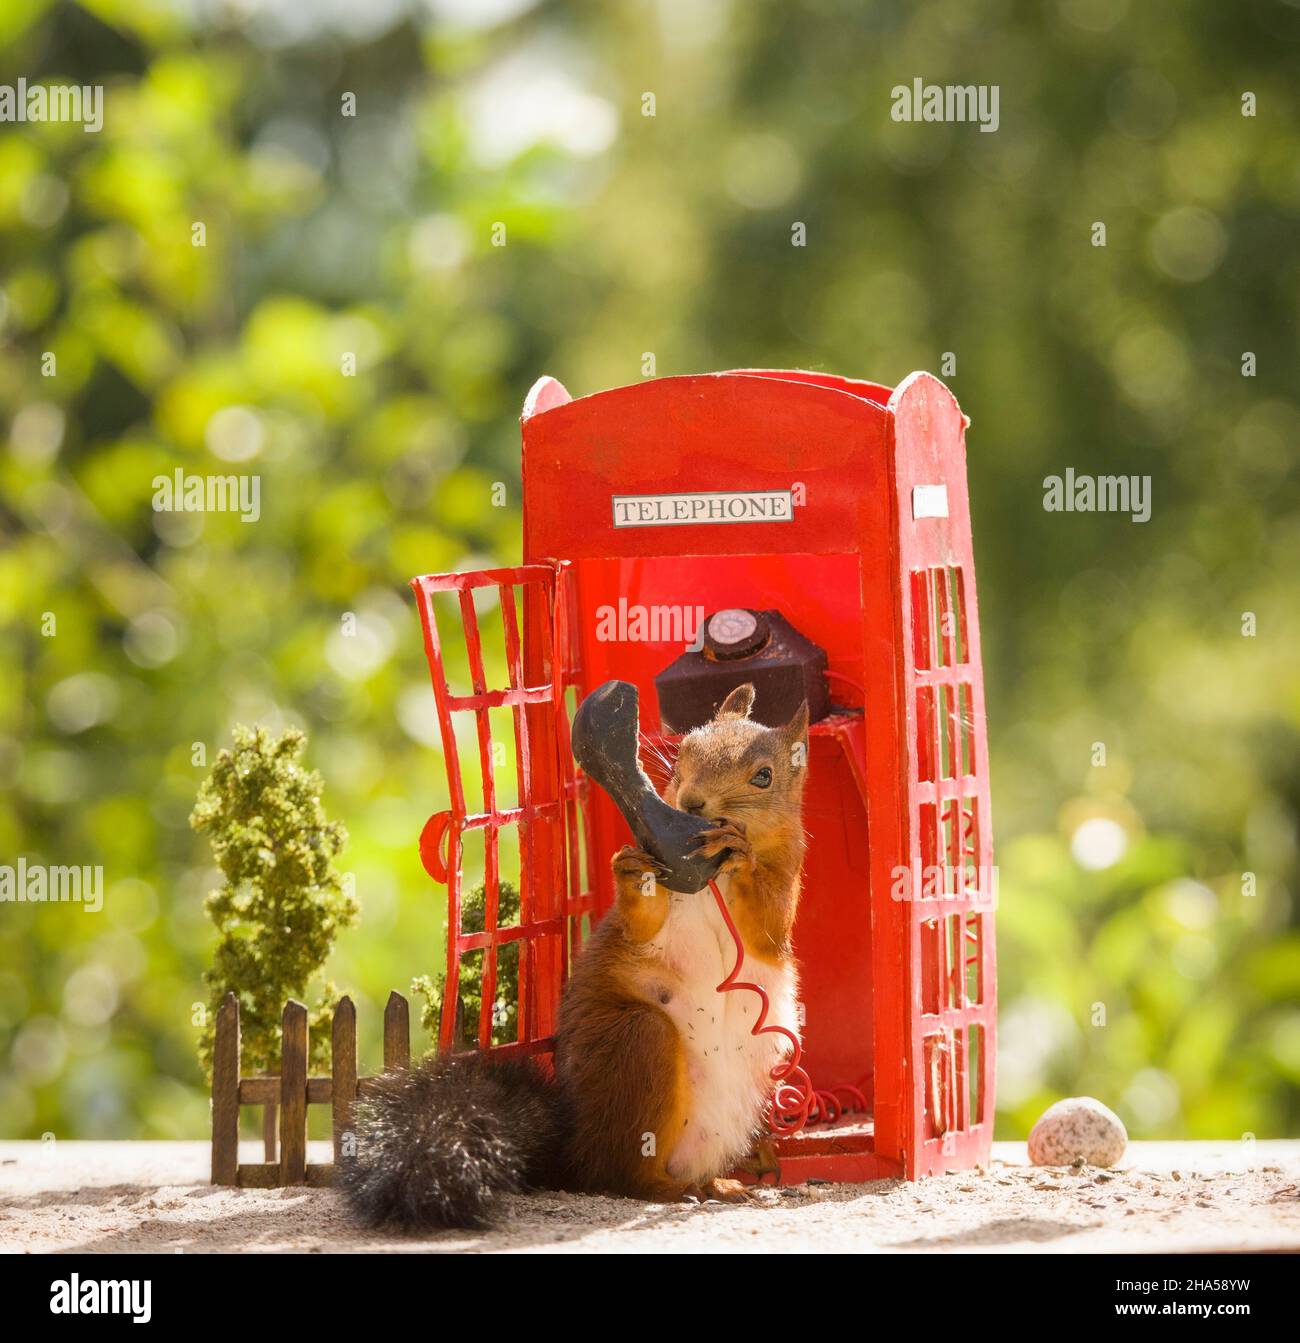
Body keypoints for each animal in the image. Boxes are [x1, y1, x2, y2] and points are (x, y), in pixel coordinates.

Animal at [342, 682, 809, 1229]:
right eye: (683, 754)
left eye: (764, 775)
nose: (692, 802)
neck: (715, 877)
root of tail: (573, 1153)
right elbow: (642, 923)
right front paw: (631, 868)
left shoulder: (785, 888)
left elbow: (766, 925)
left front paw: (743, 854)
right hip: (639, 1042)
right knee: (619, 1176)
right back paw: (678, 1188)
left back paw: (719, 1183)